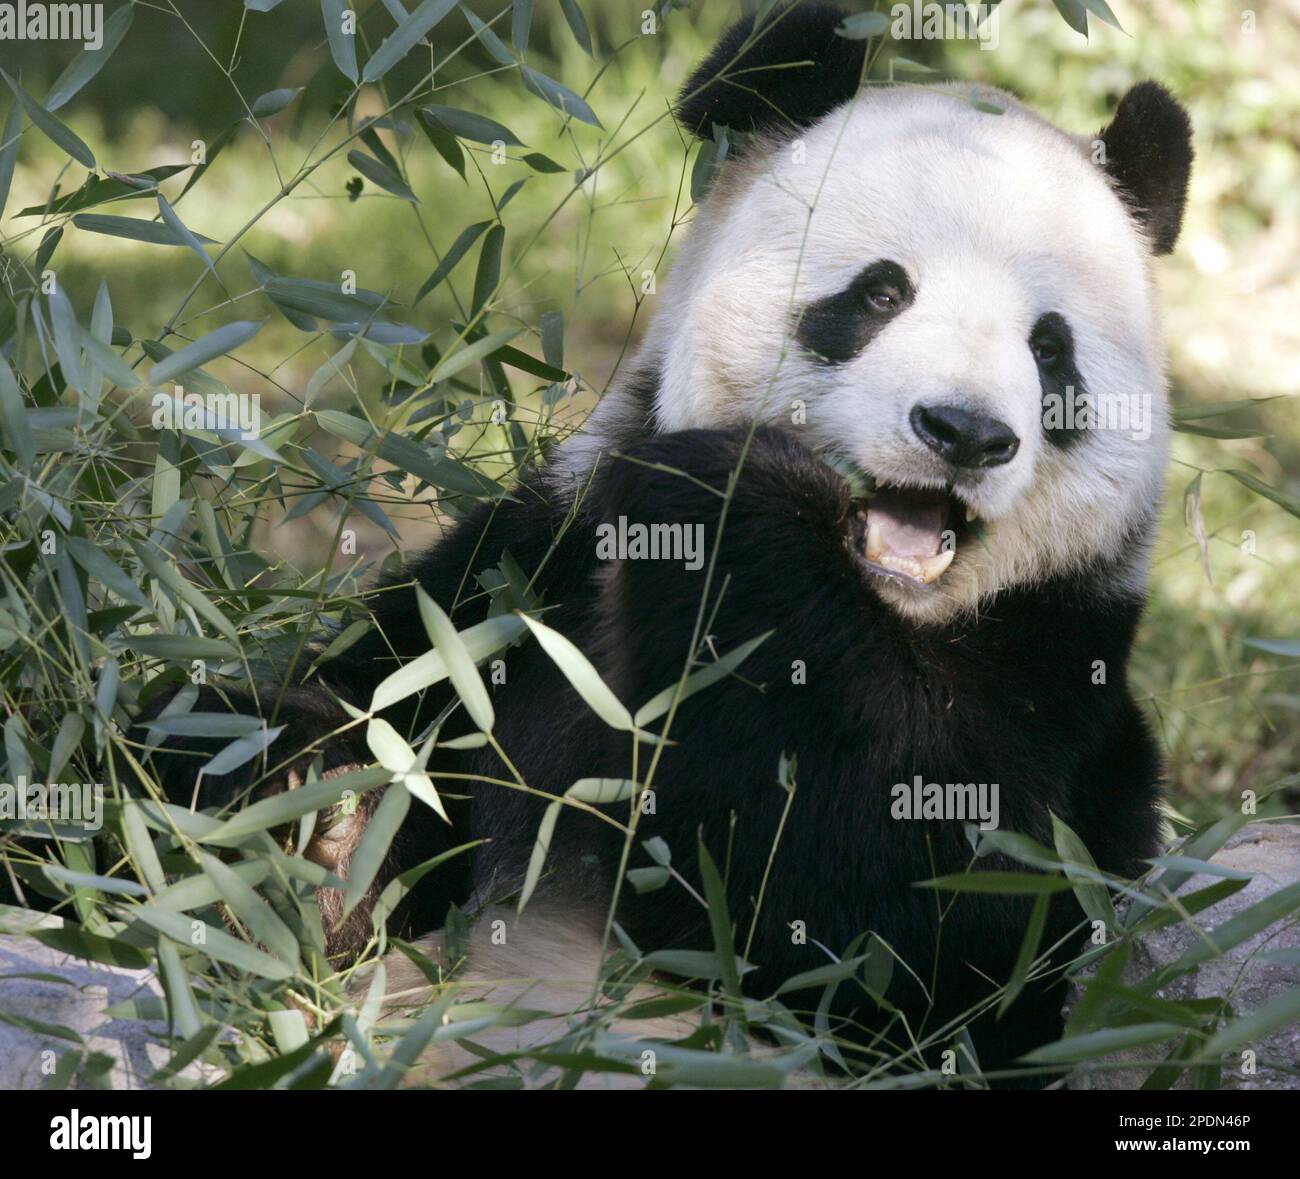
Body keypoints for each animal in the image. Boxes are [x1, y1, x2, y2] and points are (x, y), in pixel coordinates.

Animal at [140, 3, 1193, 1083]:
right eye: (880, 295)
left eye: (1050, 350)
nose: (965, 432)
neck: (888, 609)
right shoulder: (524, 590)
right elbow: (369, 728)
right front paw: (296, 807)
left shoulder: (1061, 678)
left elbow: (924, 927)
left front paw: (738, 498)